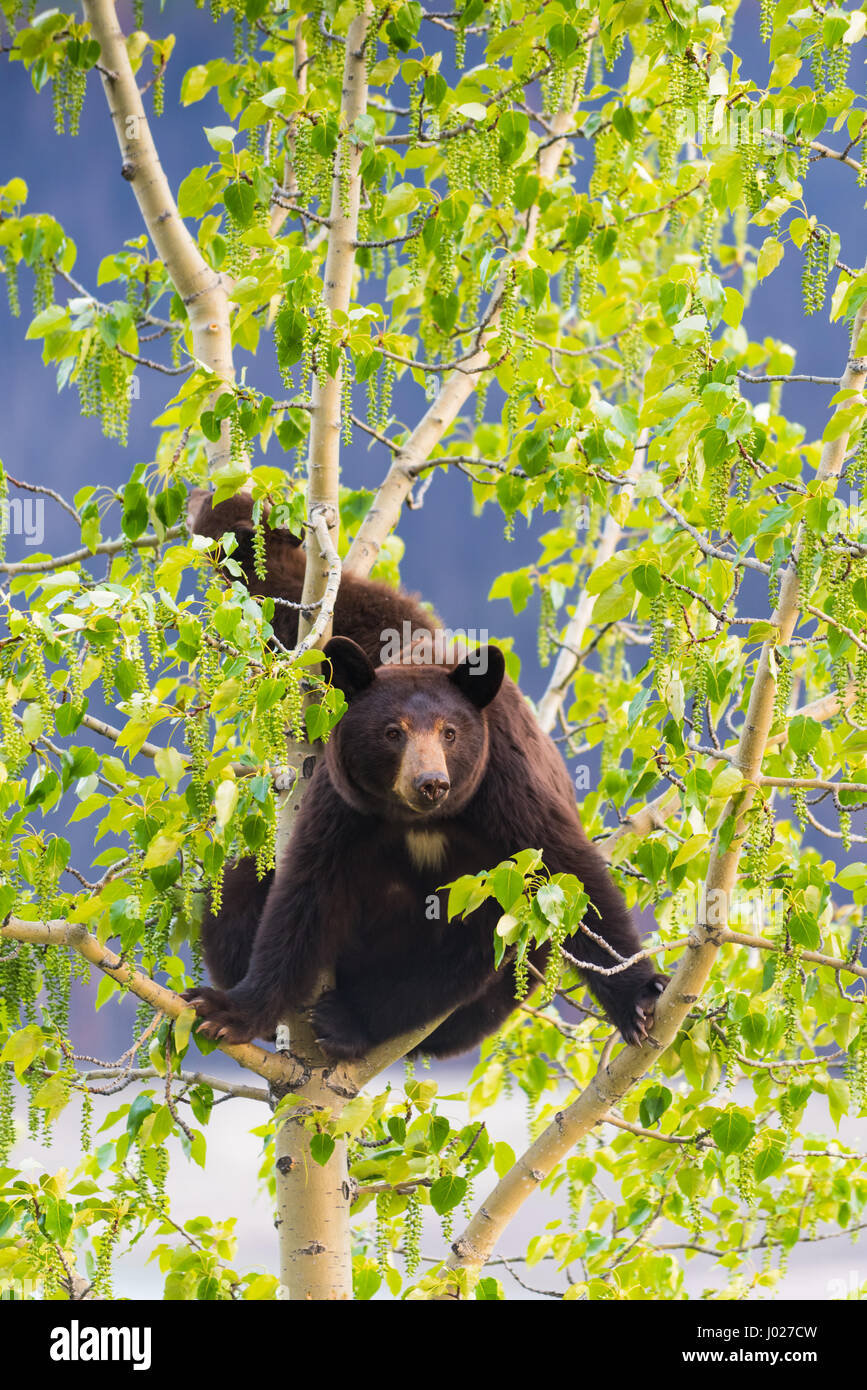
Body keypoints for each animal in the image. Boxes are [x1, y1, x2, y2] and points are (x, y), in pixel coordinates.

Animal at [184, 492, 667, 1058]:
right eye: (392, 732)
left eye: (450, 732)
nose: (430, 783)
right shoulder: (346, 804)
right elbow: (303, 899)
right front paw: (230, 1009)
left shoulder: (508, 789)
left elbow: (572, 878)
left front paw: (638, 995)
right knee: (234, 891)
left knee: (459, 962)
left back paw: (348, 1020)